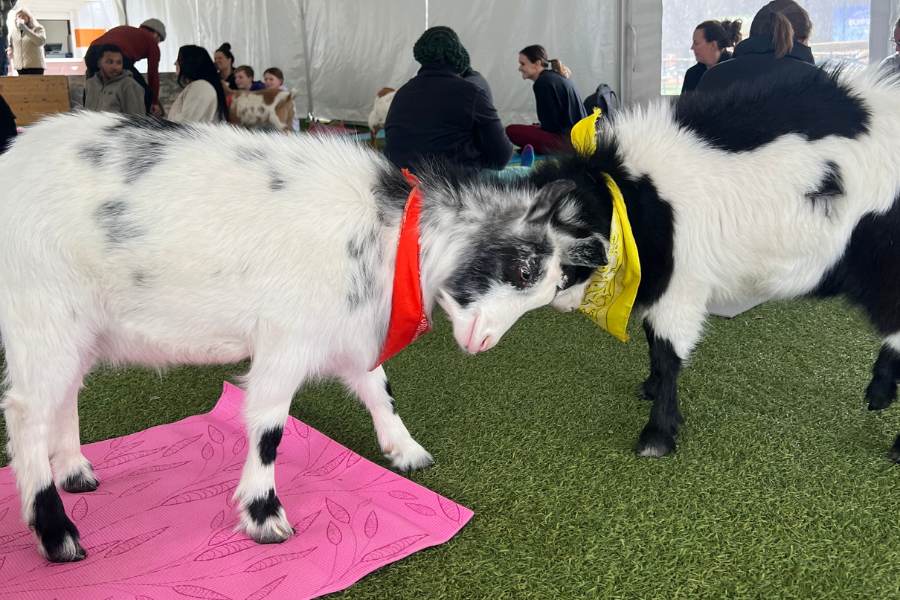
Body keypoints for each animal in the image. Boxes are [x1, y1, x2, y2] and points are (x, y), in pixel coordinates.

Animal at [0, 112, 575, 562]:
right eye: (524, 268)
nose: (484, 343)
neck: (392, 234)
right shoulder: (286, 338)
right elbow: (270, 426)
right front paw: (264, 515)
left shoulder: (346, 332)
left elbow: (379, 389)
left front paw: (406, 451)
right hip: (43, 311)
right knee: (28, 412)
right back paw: (57, 535)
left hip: (78, 326)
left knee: (64, 394)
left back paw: (76, 471)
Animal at [534, 67, 900, 461]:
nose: (556, 303)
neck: (639, 195)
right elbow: (652, 341)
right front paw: (649, 388)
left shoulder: (682, 284)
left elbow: (667, 351)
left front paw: (656, 436)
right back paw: (879, 394)